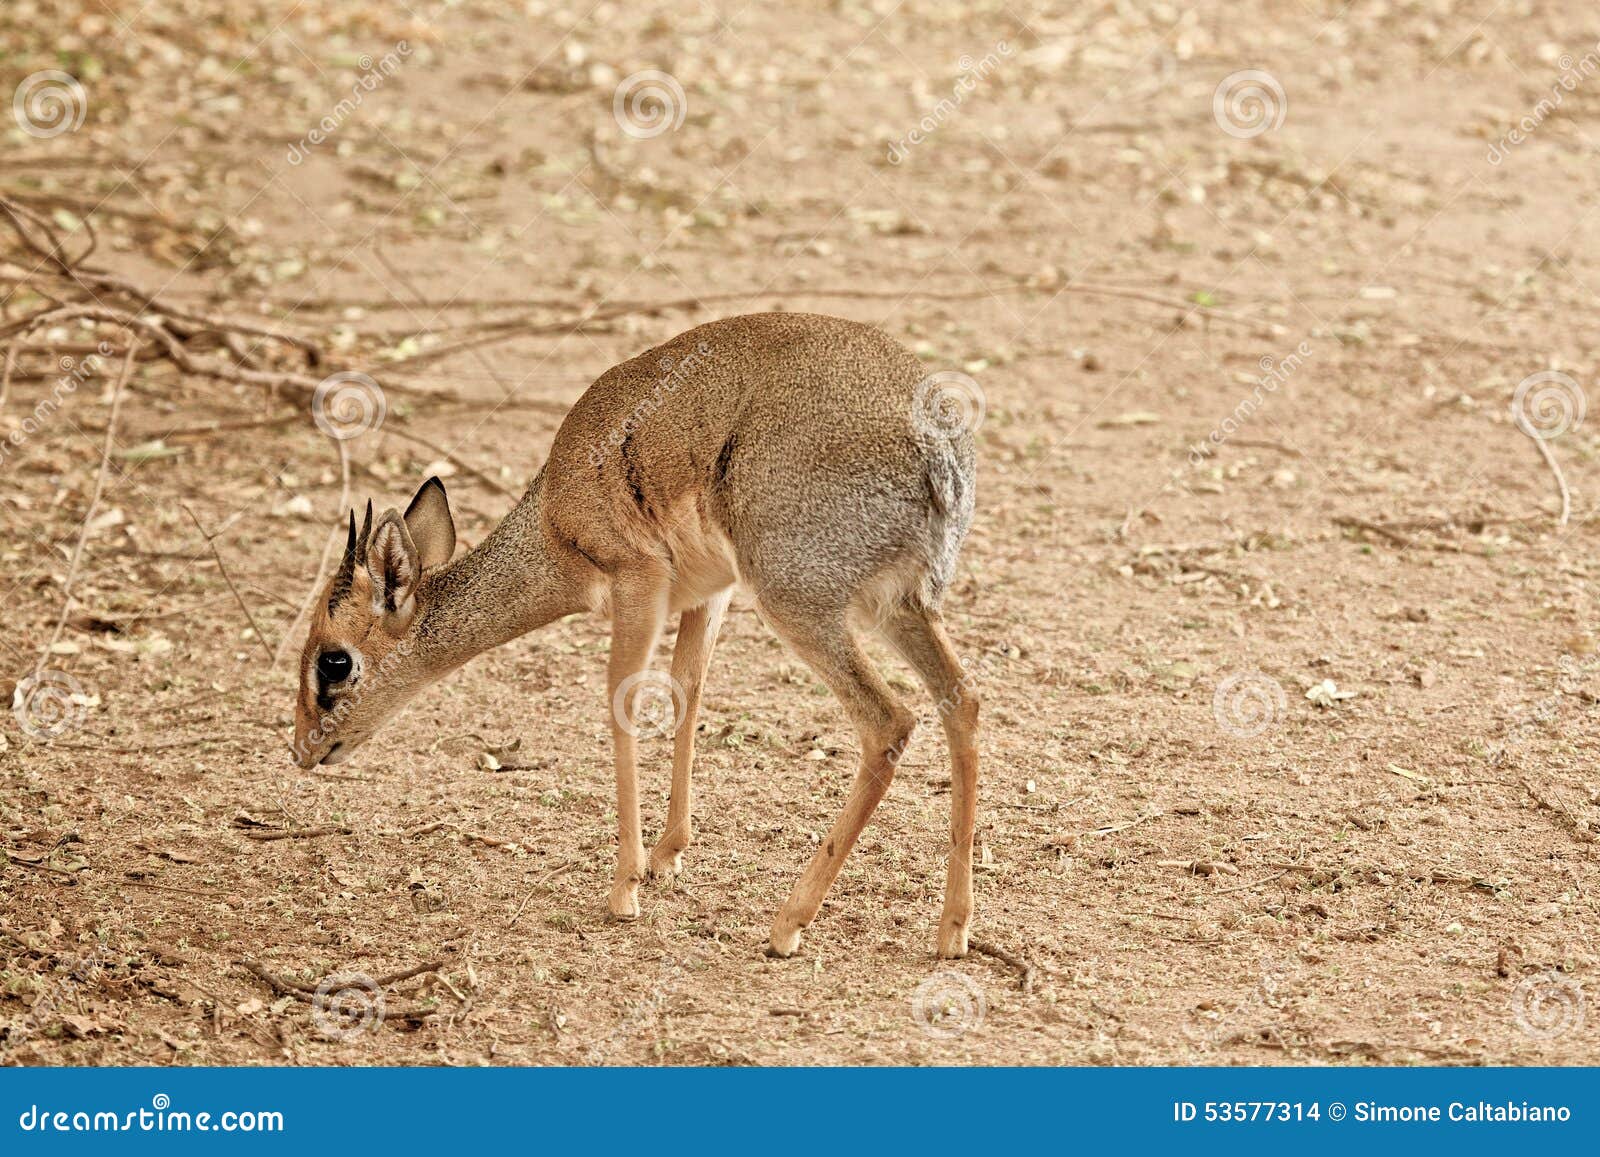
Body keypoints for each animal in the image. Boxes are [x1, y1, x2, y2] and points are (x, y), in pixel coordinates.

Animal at [289, 312, 980, 958]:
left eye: (333, 662)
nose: (302, 750)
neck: (555, 516)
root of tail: (937, 443)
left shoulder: (638, 583)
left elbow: (623, 700)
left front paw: (625, 887)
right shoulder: (708, 592)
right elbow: (686, 691)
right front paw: (667, 854)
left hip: (802, 604)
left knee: (890, 721)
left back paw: (787, 924)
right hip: (898, 605)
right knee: (963, 698)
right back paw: (952, 929)